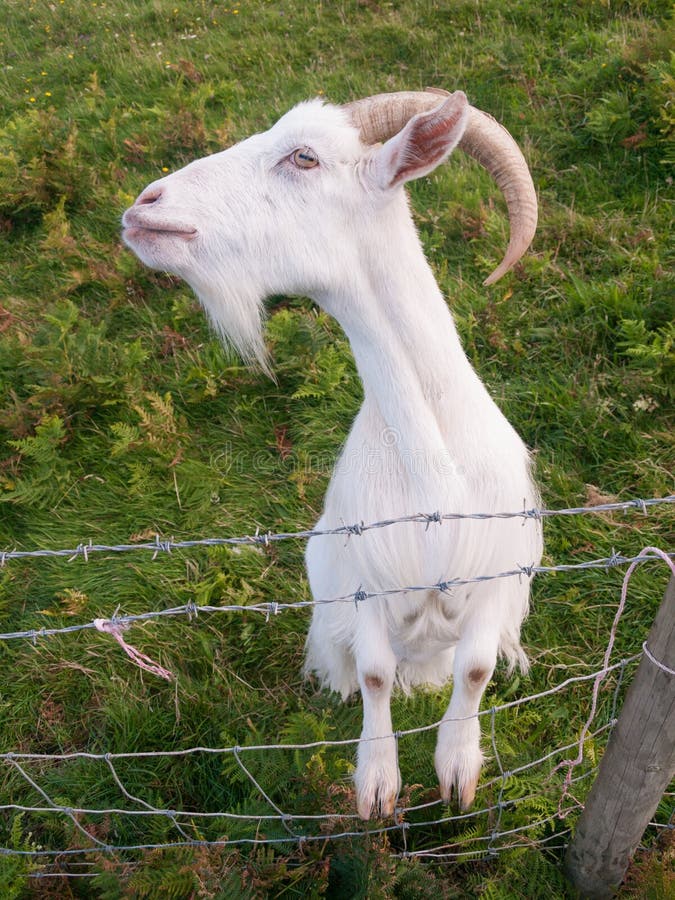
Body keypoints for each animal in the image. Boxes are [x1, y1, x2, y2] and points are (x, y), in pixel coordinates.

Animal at [122, 89, 543, 820]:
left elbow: (476, 667)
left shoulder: (496, 574)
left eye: (304, 157)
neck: (433, 473)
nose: (145, 206)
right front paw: (376, 784)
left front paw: (458, 774)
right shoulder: (360, 577)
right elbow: (374, 674)